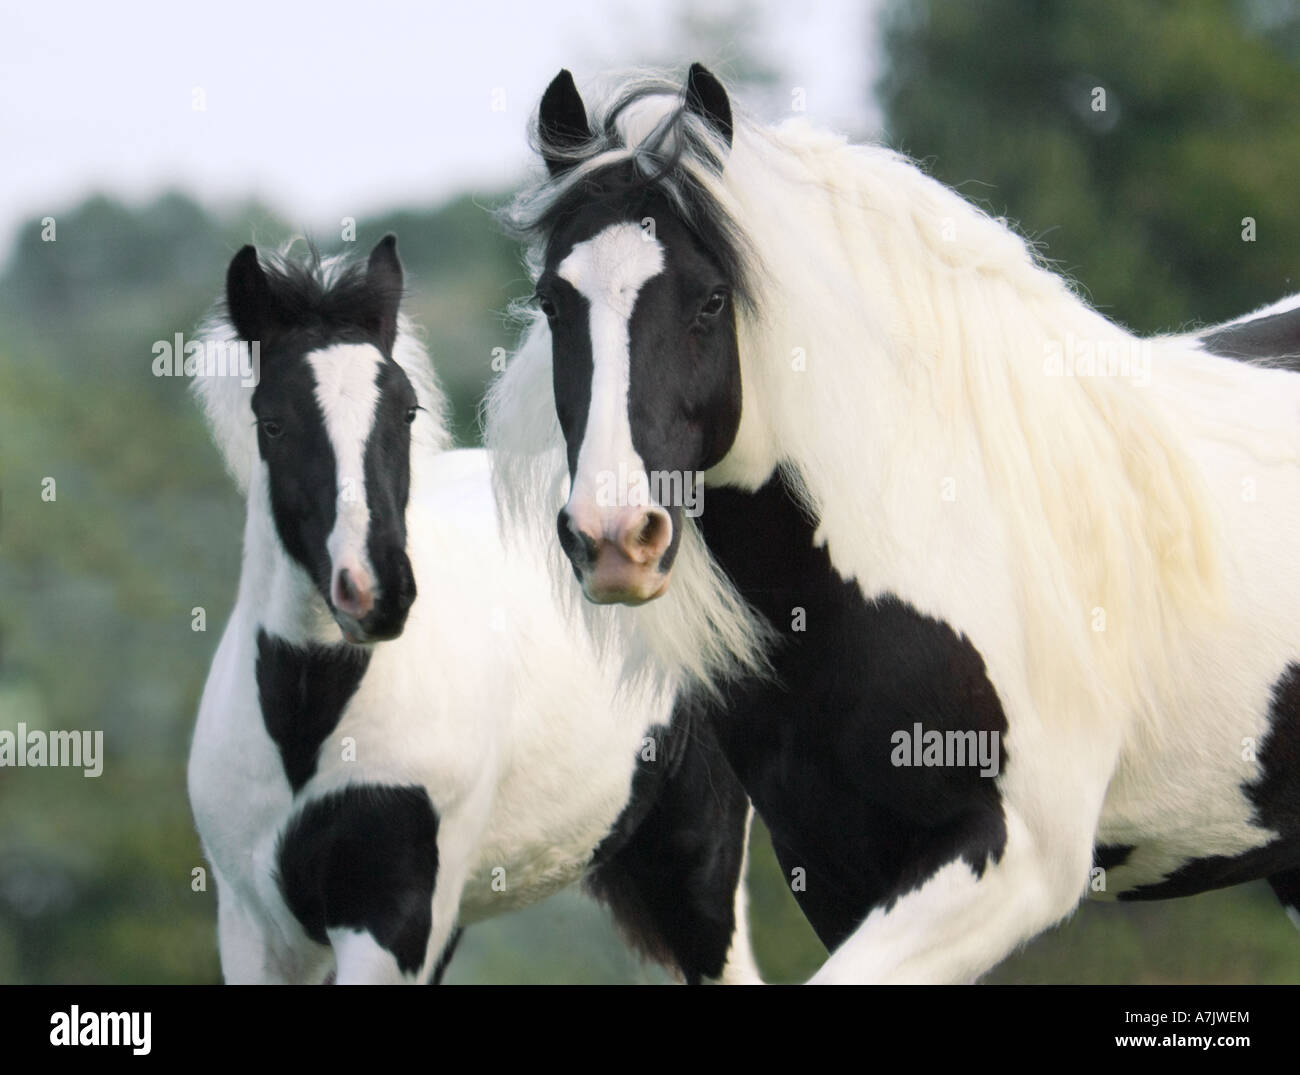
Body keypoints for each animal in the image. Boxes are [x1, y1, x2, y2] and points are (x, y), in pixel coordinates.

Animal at [186, 235, 760, 984]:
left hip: (698, 878)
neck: (307, 722)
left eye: (405, 411)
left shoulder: (393, 922)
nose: (377, 590)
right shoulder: (255, 930)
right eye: (272, 422)